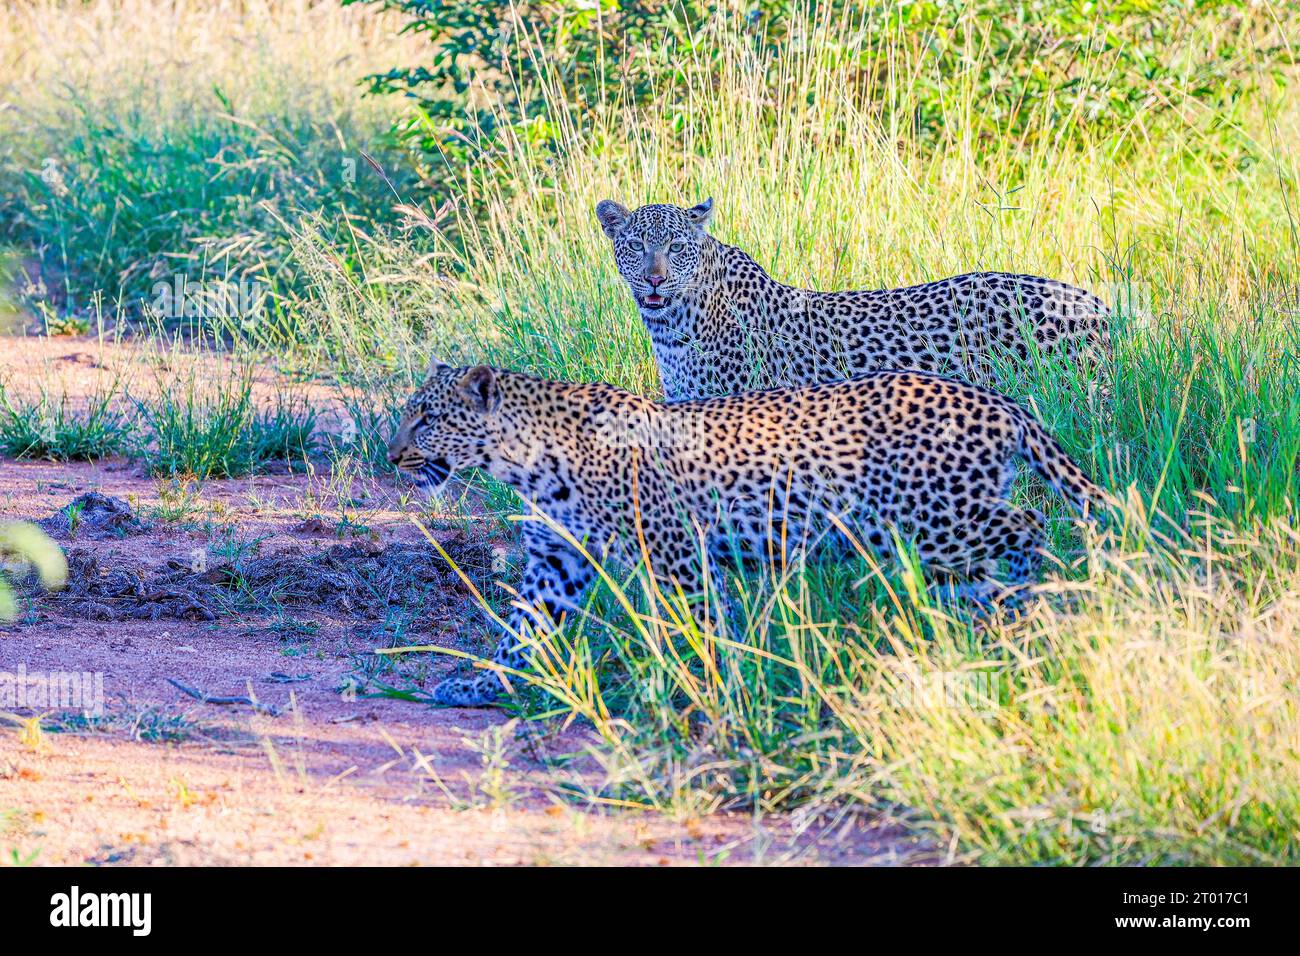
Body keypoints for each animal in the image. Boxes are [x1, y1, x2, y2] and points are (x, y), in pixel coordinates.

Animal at [387, 360, 1110, 707]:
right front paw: (482, 687)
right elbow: (520, 632)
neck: (523, 462)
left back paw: (1034, 595)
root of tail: (998, 400)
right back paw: (979, 609)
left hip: (933, 516)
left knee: (1033, 525)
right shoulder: (556, 563)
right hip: (918, 530)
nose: (391, 455)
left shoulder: (674, 551)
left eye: (427, 419)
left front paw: (716, 686)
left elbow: (701, 621)